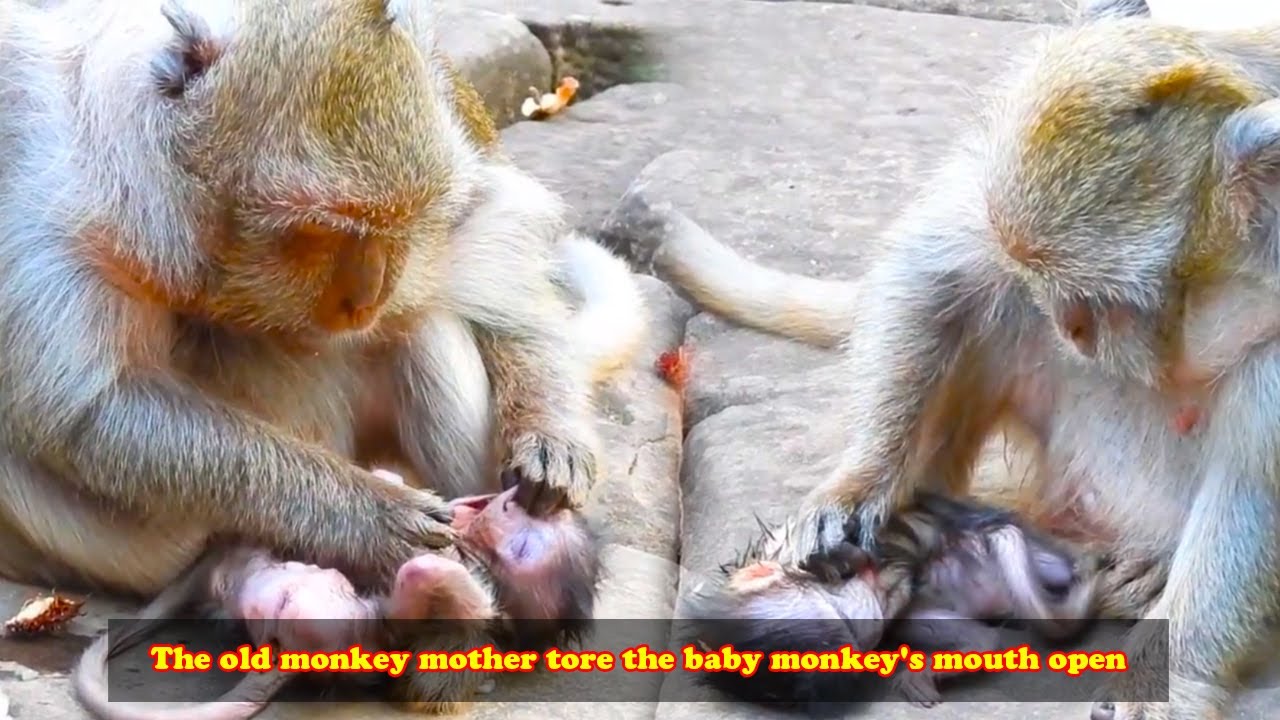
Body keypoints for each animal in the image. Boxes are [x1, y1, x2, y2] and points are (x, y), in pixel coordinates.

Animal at [0, 0, 647, 606]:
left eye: (398, 223)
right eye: (319, 231)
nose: (366, 297)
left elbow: (495, 219)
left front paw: (548, 426)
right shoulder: (42, 183)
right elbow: (92, 410)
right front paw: (366, 514)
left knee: (428, 324)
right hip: (142, 548)